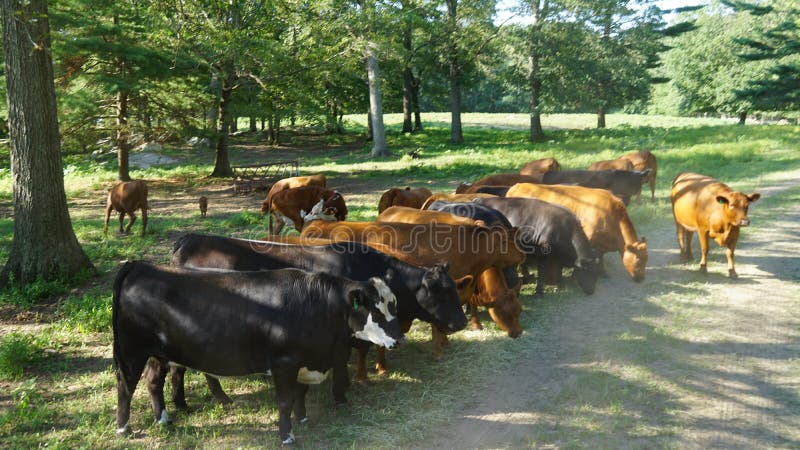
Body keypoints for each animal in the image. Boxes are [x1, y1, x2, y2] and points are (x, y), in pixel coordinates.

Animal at [112, 261, 402, 445]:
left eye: (395, 305)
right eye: (376, 311)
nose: (399, 339)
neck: (317, 306)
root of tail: (142, 265)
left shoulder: (304, 363)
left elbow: (300, 393)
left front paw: (302, 418)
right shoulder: (284, 363)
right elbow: (284, 401)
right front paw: (287, 436)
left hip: (158, 352)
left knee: (153, 380)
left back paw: (163, 420)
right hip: (131, 350)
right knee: (126, 386)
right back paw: (123, 428)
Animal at [169, 233, 468, 395]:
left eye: (455, 288)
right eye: (441, 292)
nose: (463, 321)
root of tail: (189, 239)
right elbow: (359, 350)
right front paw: (359, 379)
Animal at [507, 183, 647, 282]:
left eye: (646, 260)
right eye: (639, 261)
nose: (641, 279)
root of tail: (517, 185)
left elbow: (601, 256)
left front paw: (603, 272)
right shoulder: (587, 237)